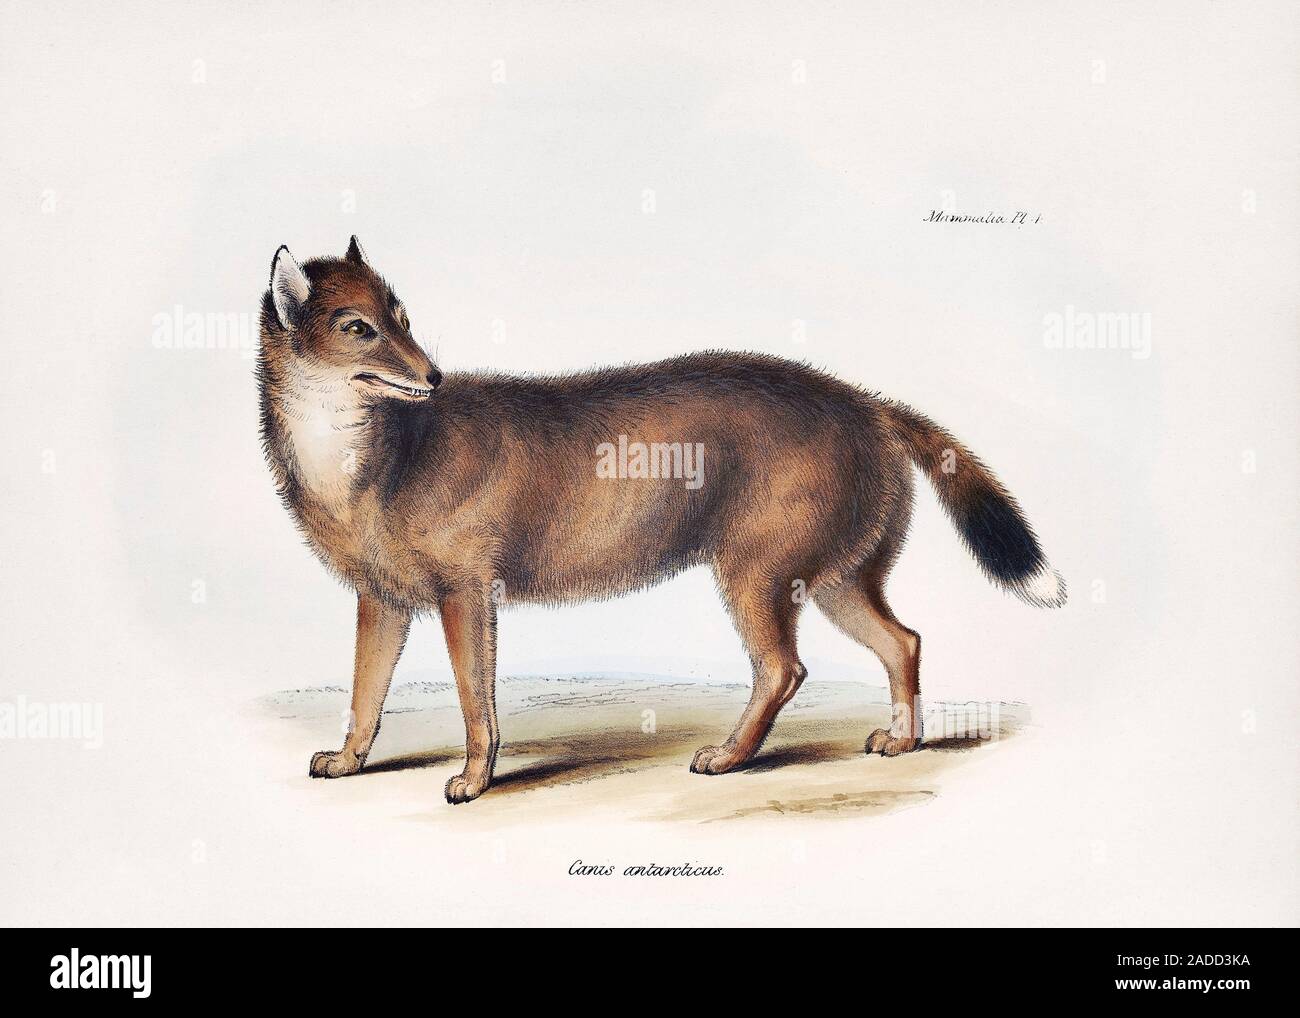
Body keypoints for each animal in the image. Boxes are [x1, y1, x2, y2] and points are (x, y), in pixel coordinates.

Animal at [258, 238, 1065, 803]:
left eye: (403, 317)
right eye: (358, 326)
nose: (433, 376)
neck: (366, 462)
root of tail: (866, 401)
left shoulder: (466, 595)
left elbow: (473, 703)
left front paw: (474, 780)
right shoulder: (382, 601)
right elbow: (364, 696)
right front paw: (347, 761)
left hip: (756, 574)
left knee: (785, 668)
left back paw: (729, 757)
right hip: (833, 579)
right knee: (904, 642)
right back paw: (902, 742)